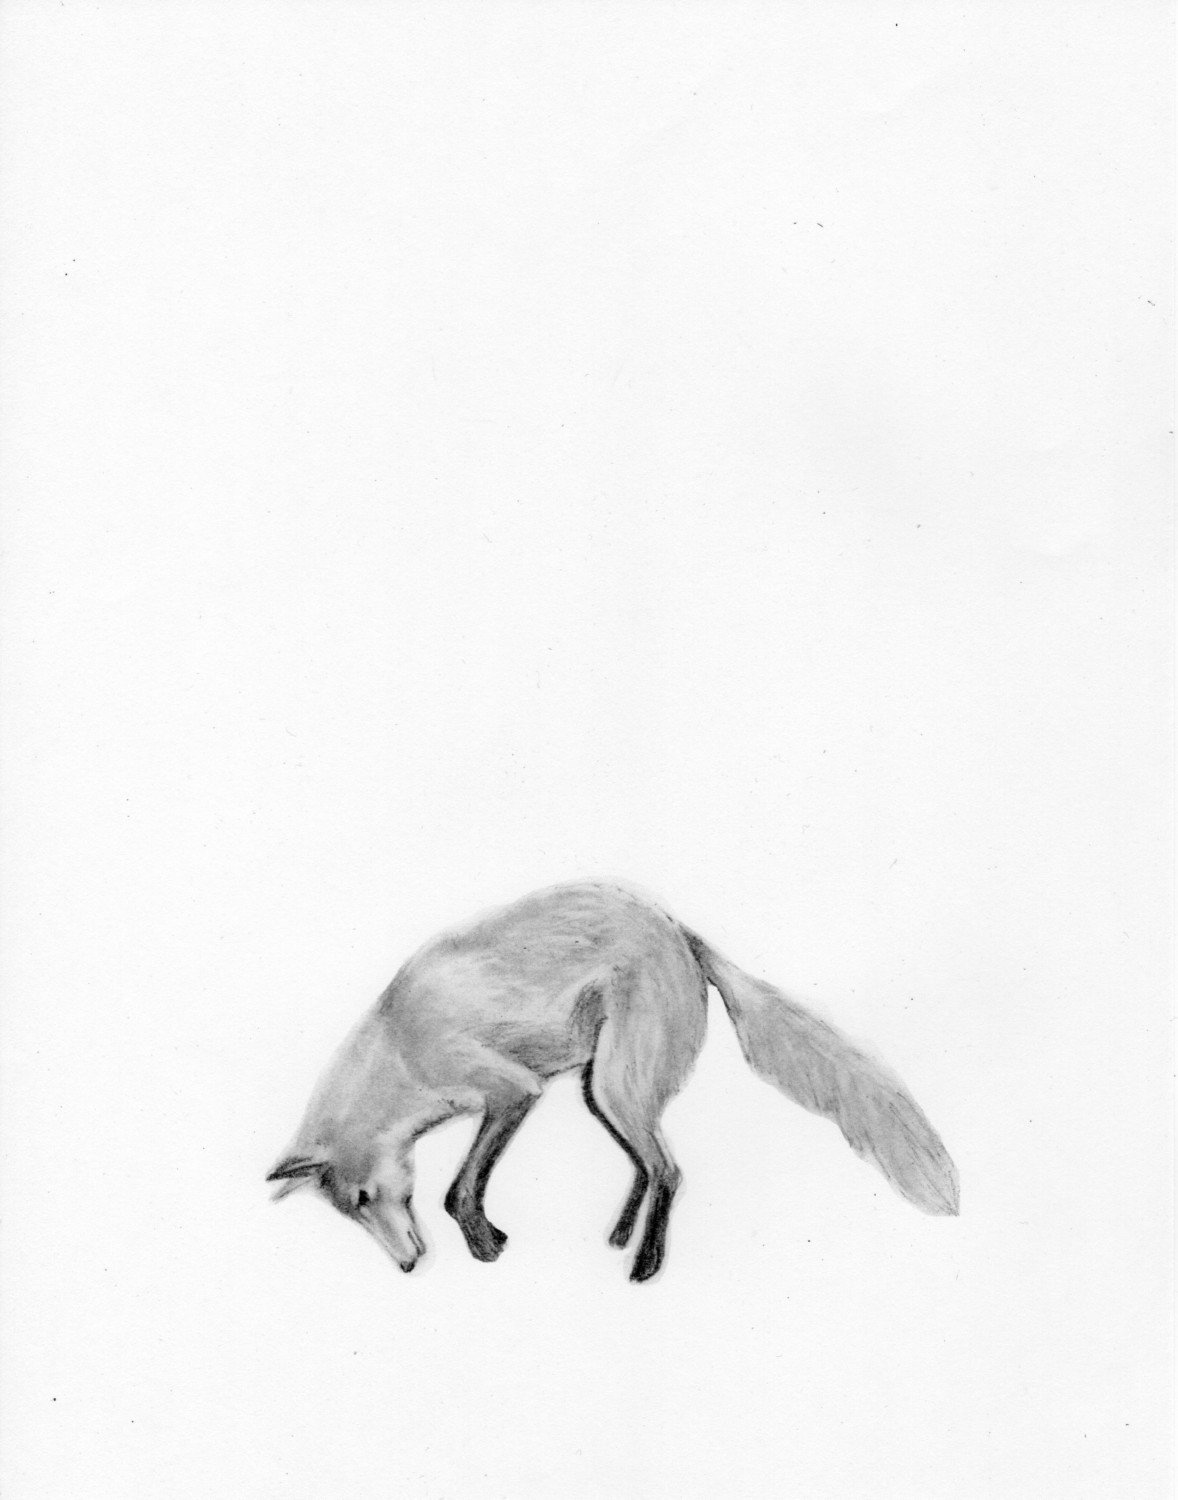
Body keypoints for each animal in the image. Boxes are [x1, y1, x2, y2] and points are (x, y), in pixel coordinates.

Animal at [267, 881, 959, 1282]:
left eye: (367, 1200)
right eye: (351, 1213)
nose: (409, 1267)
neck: (399, 1046)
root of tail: (680, 930)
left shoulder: (513, 1091)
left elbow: (459, 1190)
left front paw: (484, 1248)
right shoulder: (512, 1097)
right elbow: (465, 1187)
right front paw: (491, 1239)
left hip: (614, 1087)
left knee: (670, 1170)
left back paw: (647, 1265)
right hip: (600, 1091)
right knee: (648, 1165)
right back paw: (621, 1235)